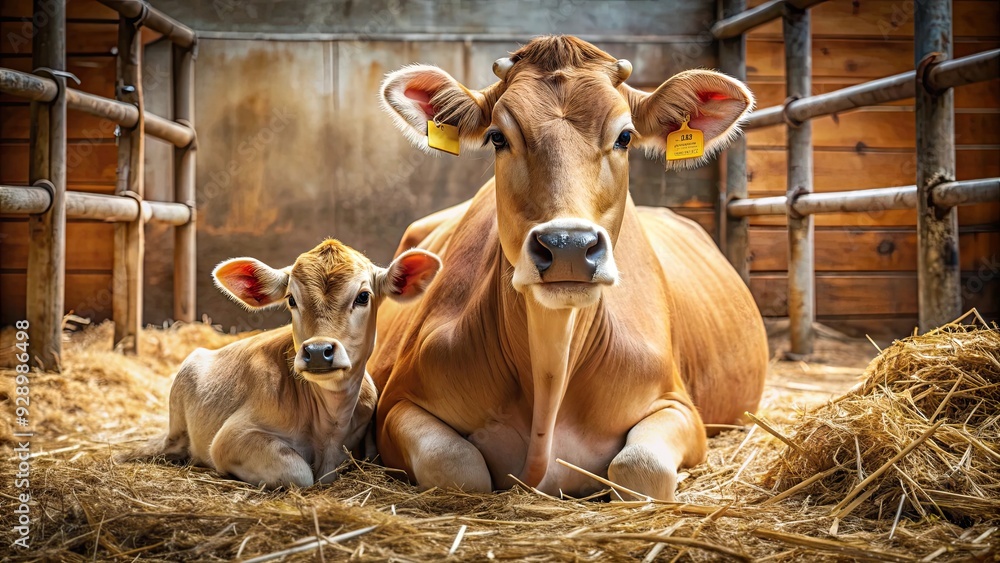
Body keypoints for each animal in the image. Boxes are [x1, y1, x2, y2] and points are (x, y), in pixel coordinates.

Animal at [129, 239, 441, 488]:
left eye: (363, 296)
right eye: (291, 299)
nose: (318, 351)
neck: (330, 426)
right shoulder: (230, 438)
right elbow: (298, 472)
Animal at [370, 36, 768, 501]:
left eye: (625, 136)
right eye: (497, 137)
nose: (568, 246)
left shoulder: (679, 405)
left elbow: (640, 466)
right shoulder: (397, 402)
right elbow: (456, 464)